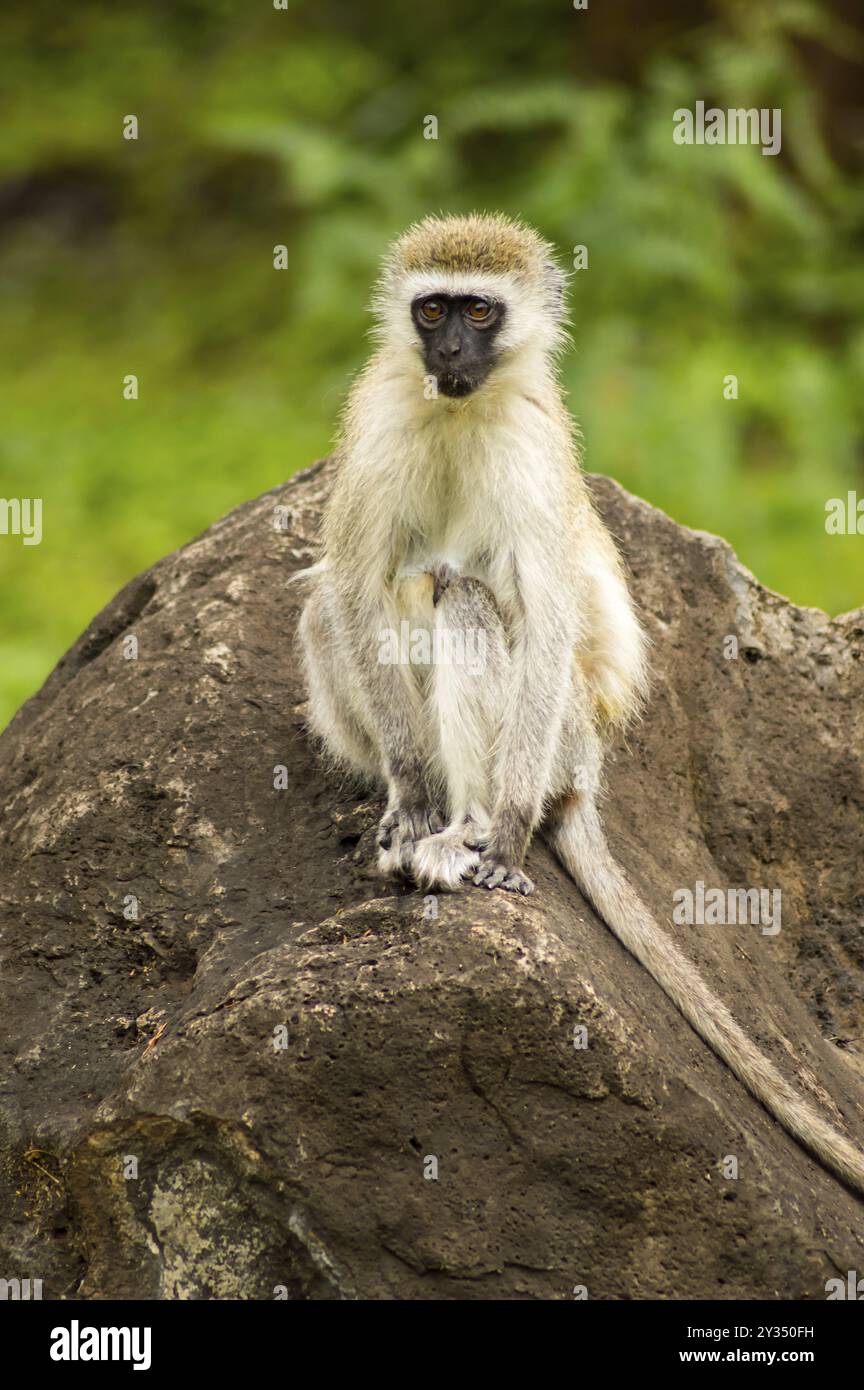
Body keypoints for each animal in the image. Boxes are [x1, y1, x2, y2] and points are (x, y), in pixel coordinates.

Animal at [296, 212, 864, 1197]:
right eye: (433, 309)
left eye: (481, 312)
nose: (450, 351)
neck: (461, 410)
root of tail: (588, 764)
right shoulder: (379, 417)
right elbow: (358, 587)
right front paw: (410, 794)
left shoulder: (528, 447)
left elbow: (550, 614)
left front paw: (502, 834)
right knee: (337, 598)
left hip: (557, 732)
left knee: (462, 597)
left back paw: (473, 826)